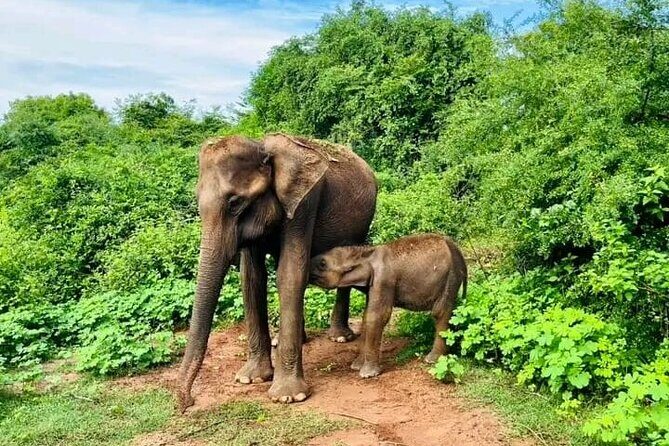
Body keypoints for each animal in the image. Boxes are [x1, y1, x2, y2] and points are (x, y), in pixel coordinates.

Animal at [177, 133, 377, 411]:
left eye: (235, 203)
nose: (187, 402)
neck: (262, 147)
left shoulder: (304, 205)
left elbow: (290, 273)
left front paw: (288, 396)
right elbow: (252, 278)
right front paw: (249, 379)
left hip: (362, 222)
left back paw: (340, 337)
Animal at [309, 233, 467, 378]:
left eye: (322, 264)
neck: (365, 252)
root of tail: (457, 250)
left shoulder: (384, 280)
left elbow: (377, 316)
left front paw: (367, 375)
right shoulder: (373, 284)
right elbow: (366, 316)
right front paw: (356, 366)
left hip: (450, 277)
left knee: (439, 312)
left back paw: (431, 360)